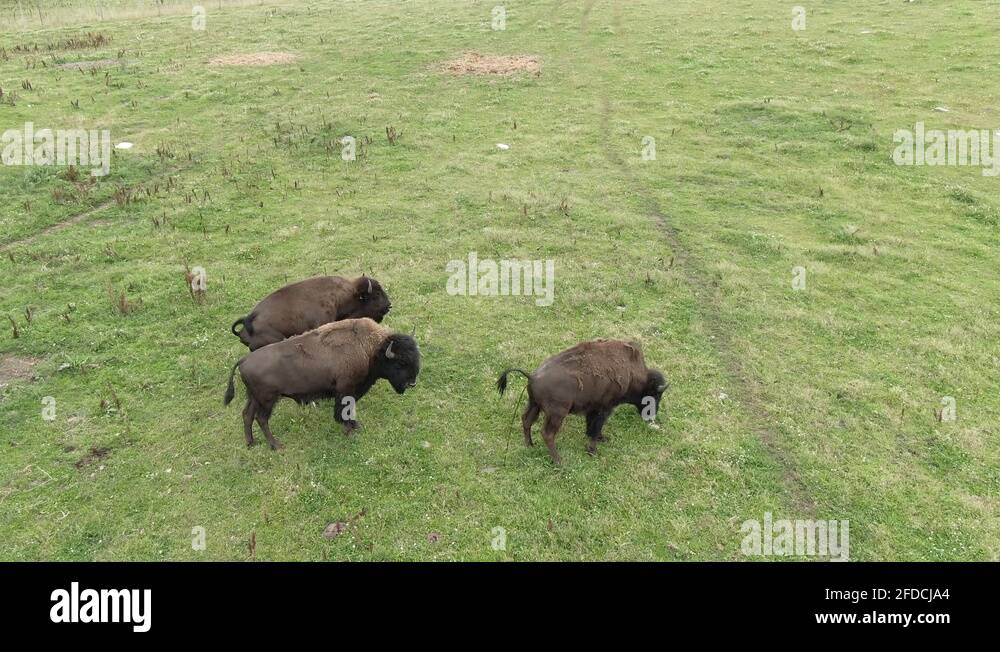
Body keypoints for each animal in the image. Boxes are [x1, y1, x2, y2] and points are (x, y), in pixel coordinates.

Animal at [223, 317, 420, 450]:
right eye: (400, 363)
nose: (411, 383)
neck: (369, 348)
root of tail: (243, 360)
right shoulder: (346, 389)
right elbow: (344, 410)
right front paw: (351, 428)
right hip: (267, 400)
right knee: (261, 419)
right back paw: (276, 445)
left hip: (254, 398)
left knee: (247, 415)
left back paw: (251, 443)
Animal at [497, 339, 668, 465]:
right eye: (655, 395)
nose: (651, 416)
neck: (633, 373)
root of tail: (532, 377)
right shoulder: (604, 408)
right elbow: (596, 427)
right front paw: (593, 450)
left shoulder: (593, 408)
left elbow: (591, 426)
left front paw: (601, 439)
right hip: (557, 414)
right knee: (547, 434)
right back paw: (559, 461)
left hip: (534, 405)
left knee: (526, 420)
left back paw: (530, 445)